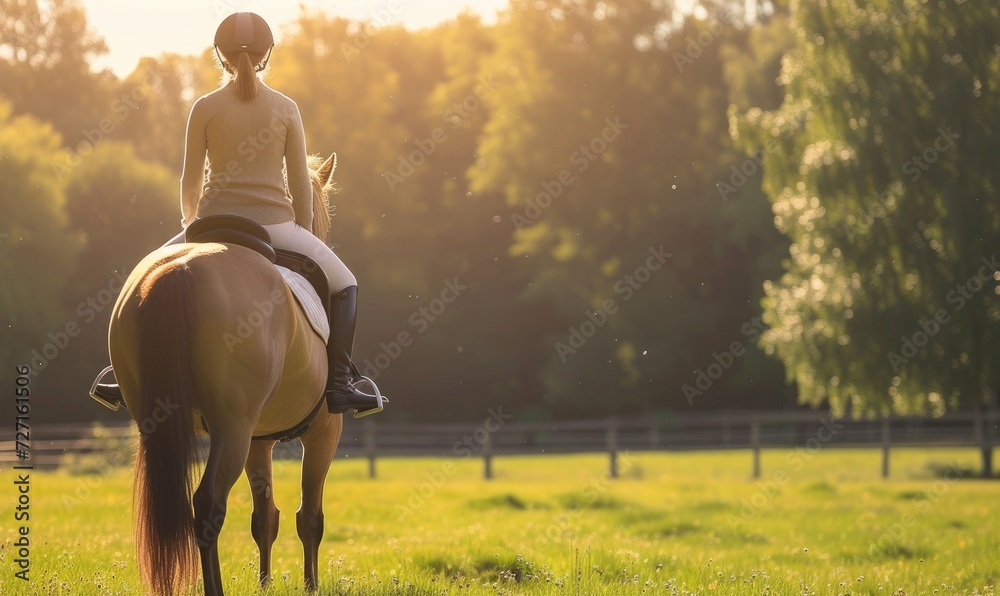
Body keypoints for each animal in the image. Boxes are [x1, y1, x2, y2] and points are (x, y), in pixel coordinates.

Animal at [108, 153, 344, 595]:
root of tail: (184, 268)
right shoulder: (323, 433)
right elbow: (310, 518)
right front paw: (310, 586)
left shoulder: (259, 442)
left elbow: (265, 518)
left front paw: (265, 584)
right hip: (232, 428)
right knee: (208, 506)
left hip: (167, 425)